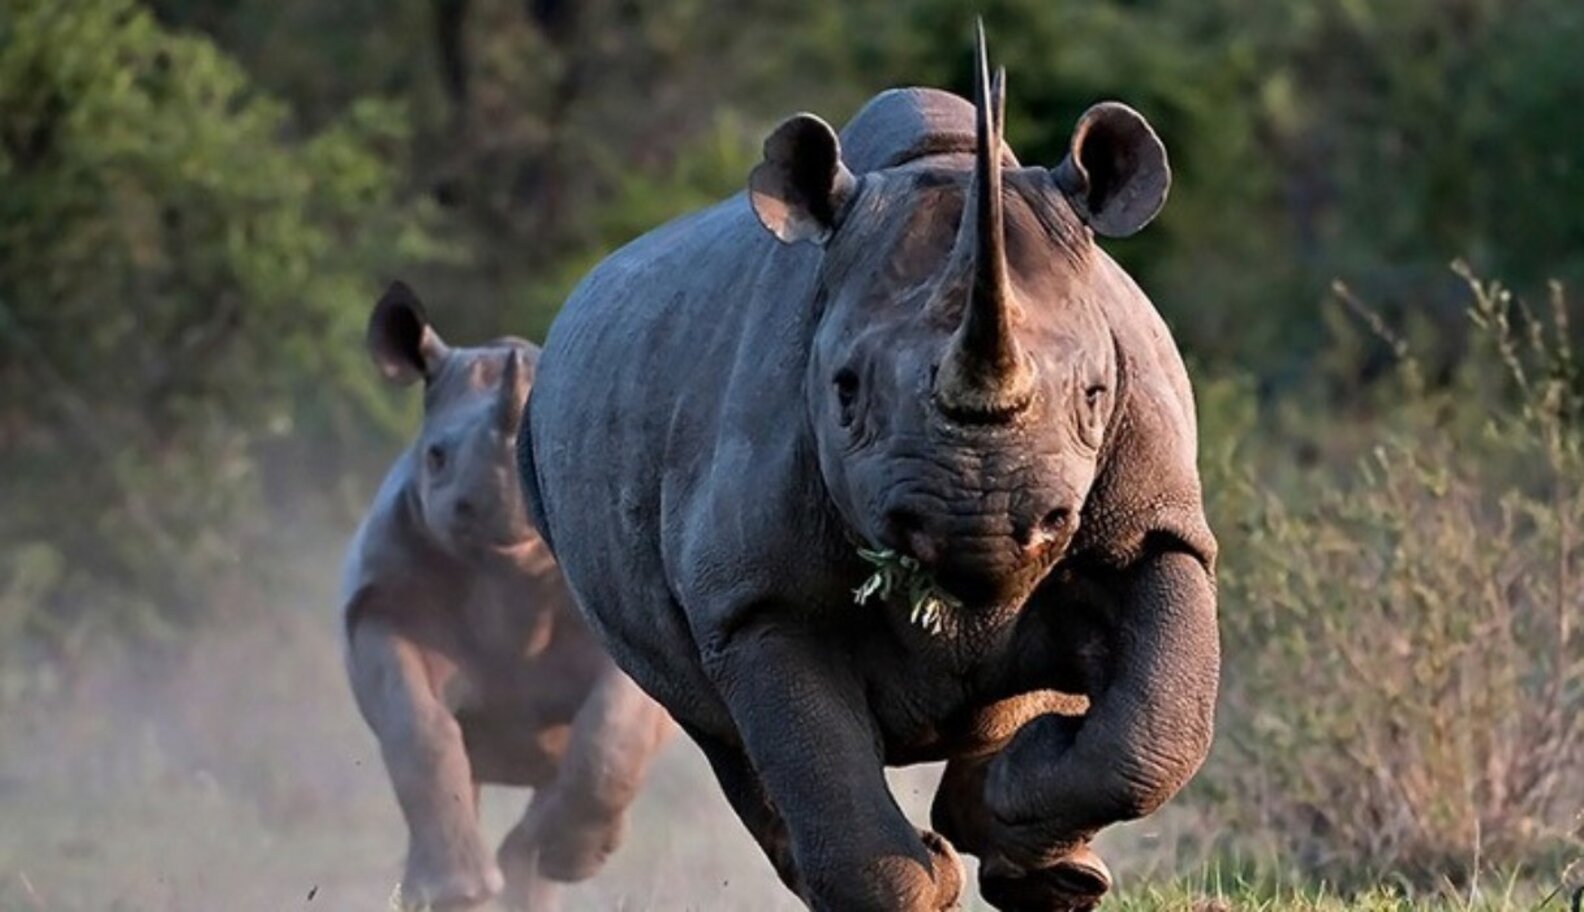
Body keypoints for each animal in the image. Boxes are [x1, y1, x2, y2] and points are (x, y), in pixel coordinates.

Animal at [340, 282, 672, 910]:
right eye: (436, 456)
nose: (495, 508)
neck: (511, 576)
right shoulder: (381, 606)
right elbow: (418, 725)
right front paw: (456, 889)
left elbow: (612, 730)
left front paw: (570, 857)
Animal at [520, 28, 1219, 912]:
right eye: (845, 392)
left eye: (1096, 393)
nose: (985, 523)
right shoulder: (756, 595)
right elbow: (819, 771)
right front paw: (928, 877)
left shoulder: (1153, 523)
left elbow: (1158, 726)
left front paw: (1027, 795)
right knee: (715, 725)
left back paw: (1048, 866)